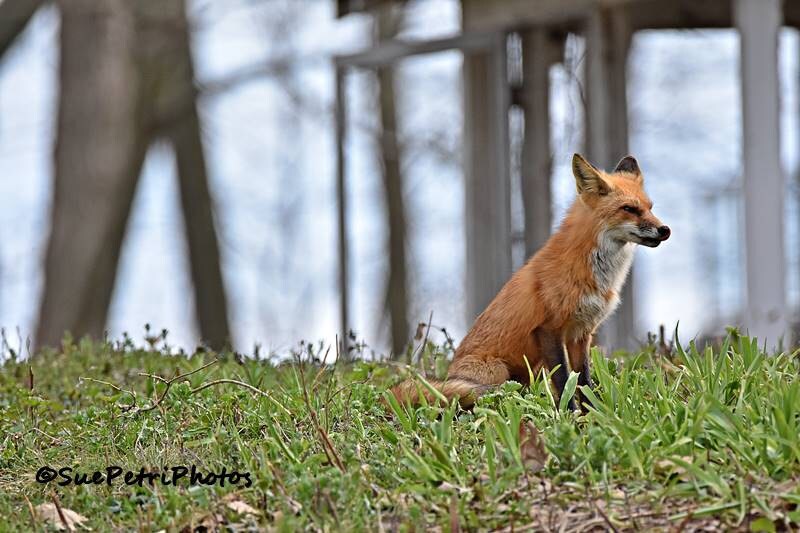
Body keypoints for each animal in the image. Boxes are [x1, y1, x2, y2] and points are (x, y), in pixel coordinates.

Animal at [391, 153, 670, 411]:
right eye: (629, 209)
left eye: (650, 207)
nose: (665, 230)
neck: (596, 273)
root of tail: (449, 372)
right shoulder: (549, 328)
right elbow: (564, 380)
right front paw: (570, 416)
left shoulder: (581, 334)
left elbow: (583, 382)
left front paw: (592, 415)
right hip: (498, 372)